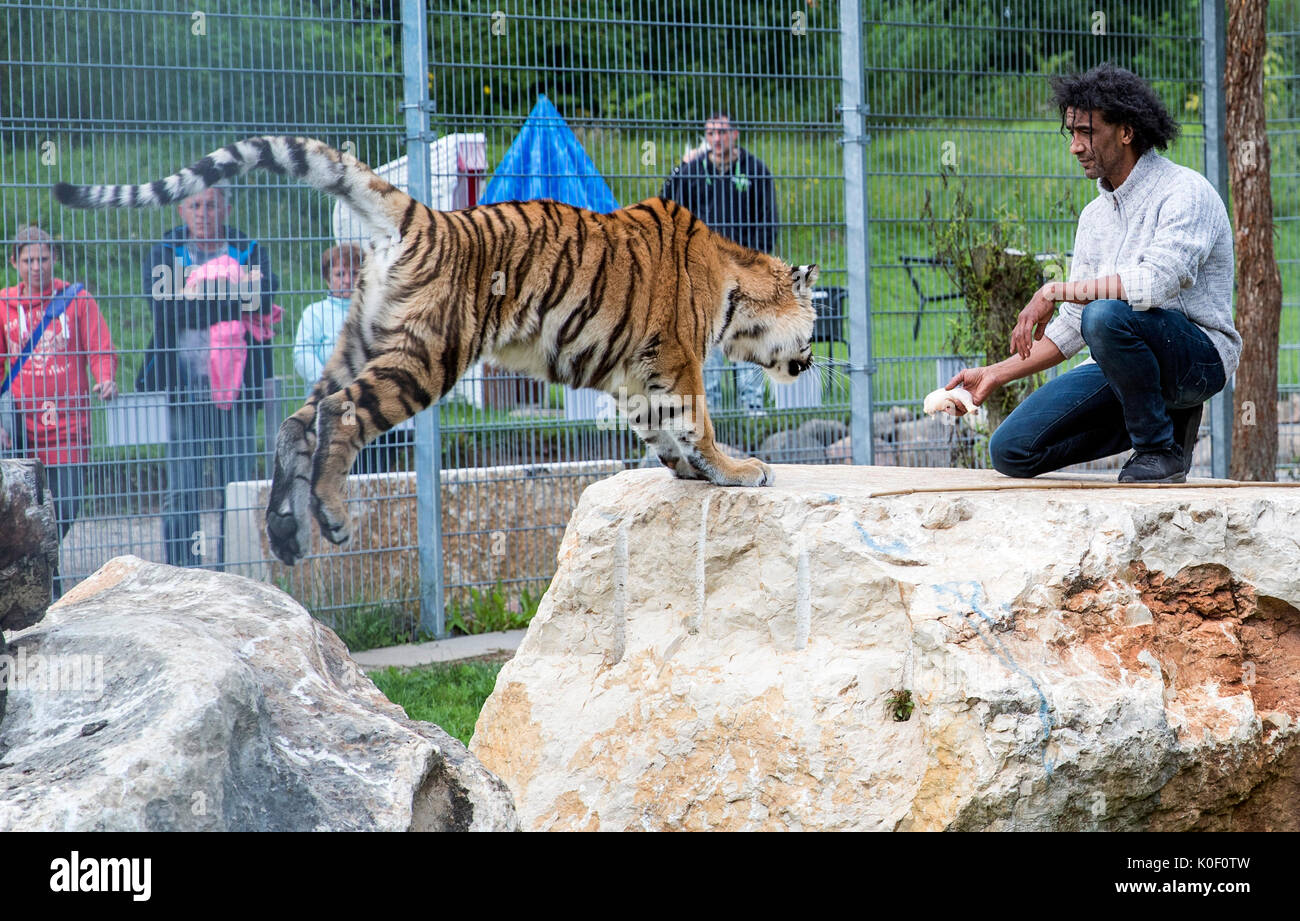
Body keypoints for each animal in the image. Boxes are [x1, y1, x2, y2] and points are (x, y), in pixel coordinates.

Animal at [54, 136, 819, 566]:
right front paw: (736, 470)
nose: (810, 361)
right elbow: (697, 419)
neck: (733, 283)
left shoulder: (638, 374)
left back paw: (287, 532)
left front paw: (689, 470)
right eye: (812, 328)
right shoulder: (675, 357)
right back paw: (331, 515)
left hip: (360, 339)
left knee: (297, 420)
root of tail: (425, 215)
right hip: (425, 357)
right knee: (341, 416)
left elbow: (662, 428)